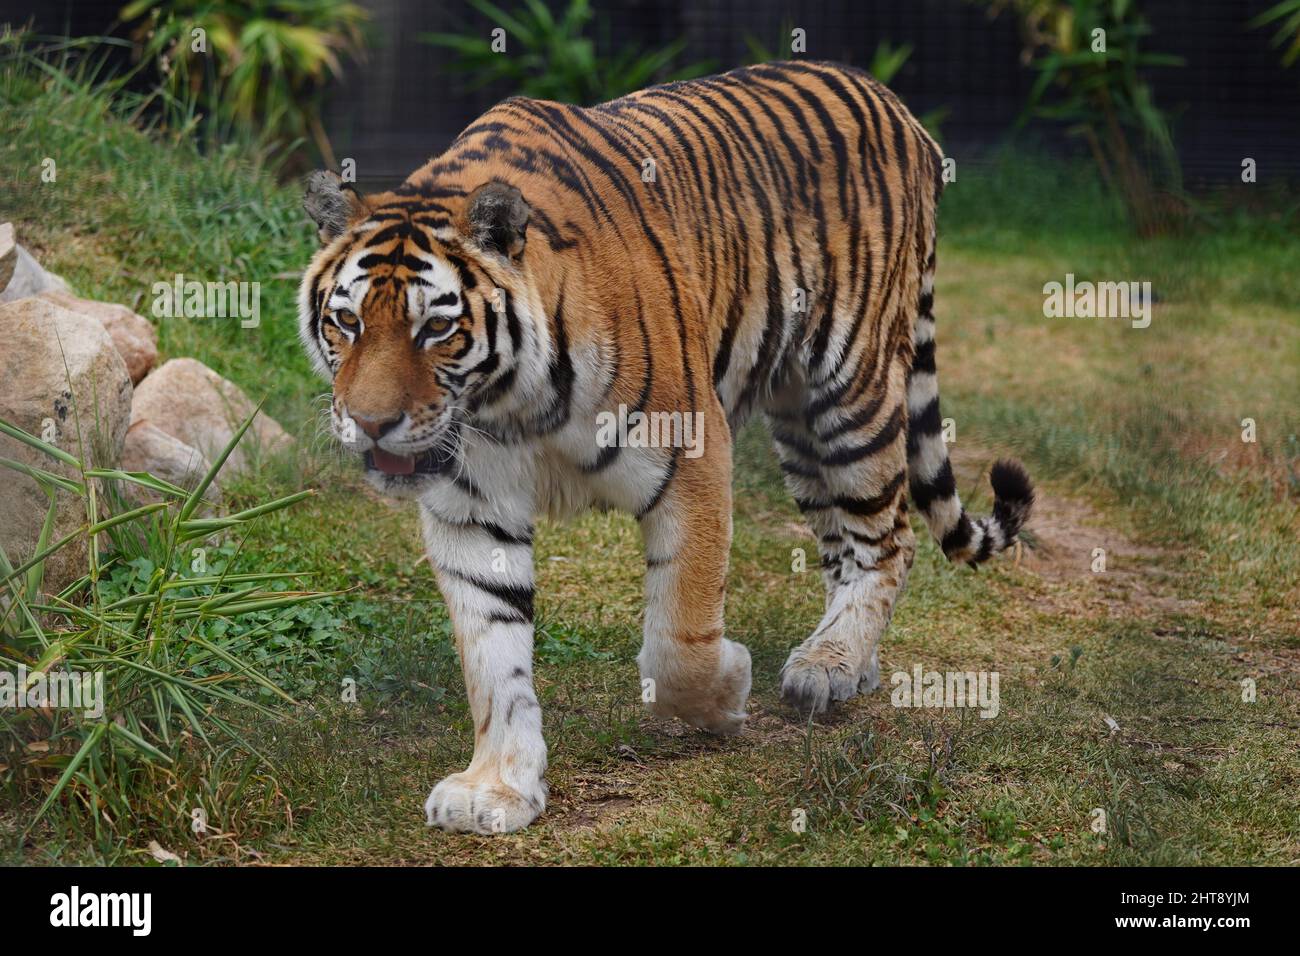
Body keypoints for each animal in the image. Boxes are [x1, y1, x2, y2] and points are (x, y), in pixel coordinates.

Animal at [298, 60, 1034, 835]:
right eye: (347, 322)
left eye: (435, 329)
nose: (370, 422)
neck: (510, 404)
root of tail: (892, 101)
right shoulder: (471, 510)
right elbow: (493, 659)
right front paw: (496, 788)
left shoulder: (694, 458)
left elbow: (678, 640)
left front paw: (726, 693)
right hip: (800, 427)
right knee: (846, 543)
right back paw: (846, 662)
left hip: (851, 394)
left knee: (891, 540)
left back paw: (824, 665)